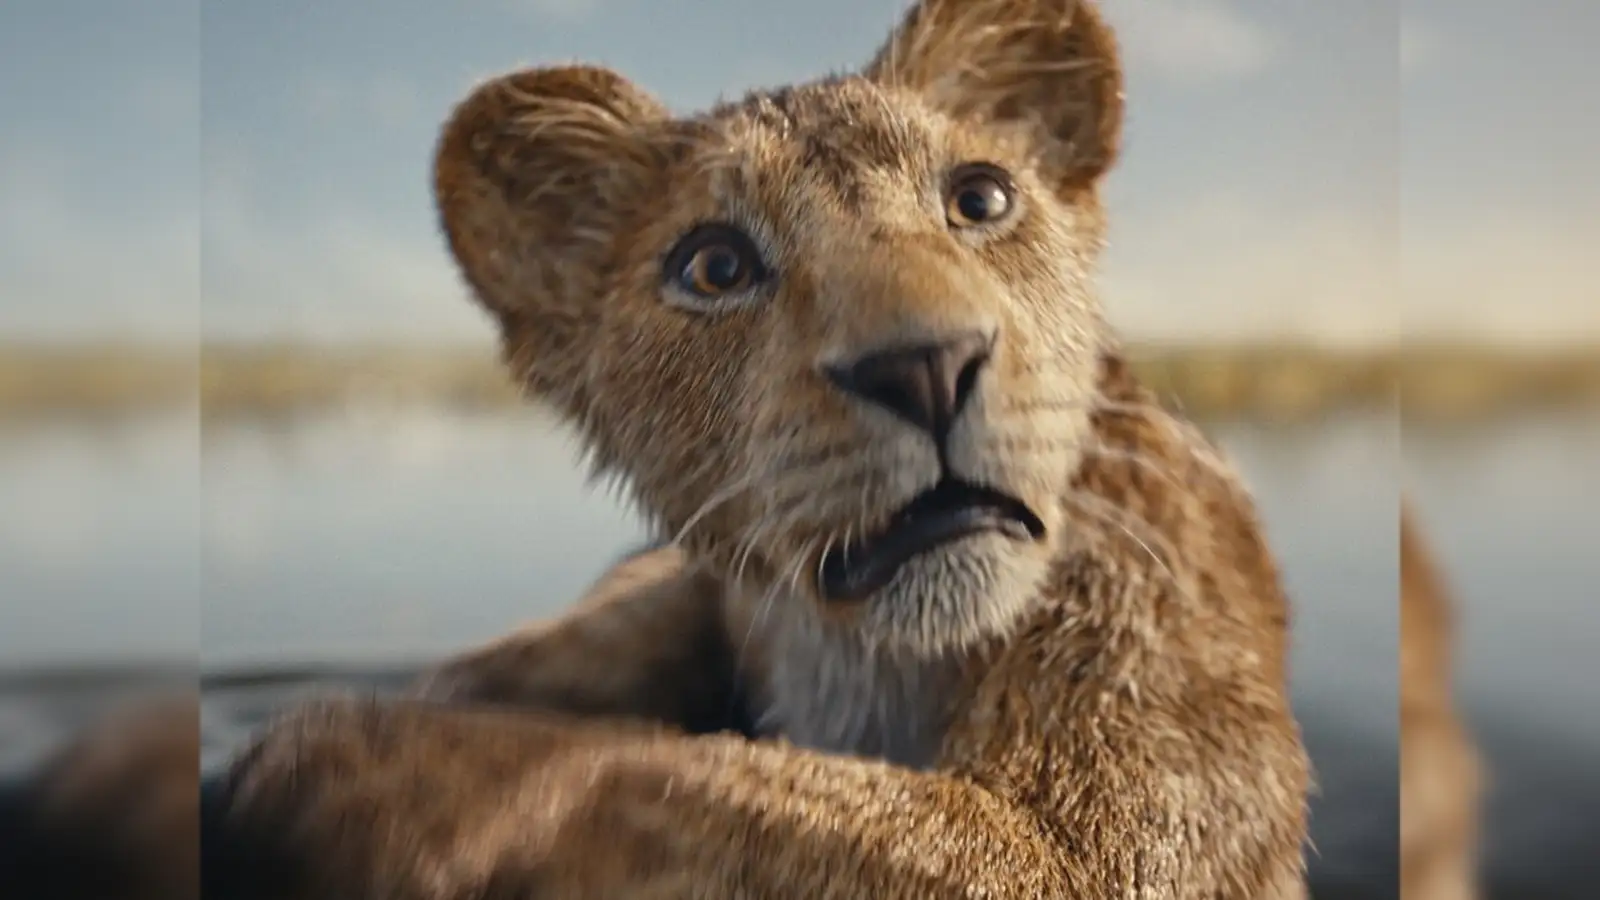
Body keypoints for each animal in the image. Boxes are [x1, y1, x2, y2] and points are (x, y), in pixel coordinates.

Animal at [202, 1, 1313, 897]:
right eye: (716, 266)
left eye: (982, 199)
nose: (926, 366)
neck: (865, 665)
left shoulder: (1112, 821)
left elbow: (665, 776)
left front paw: (353, 767)